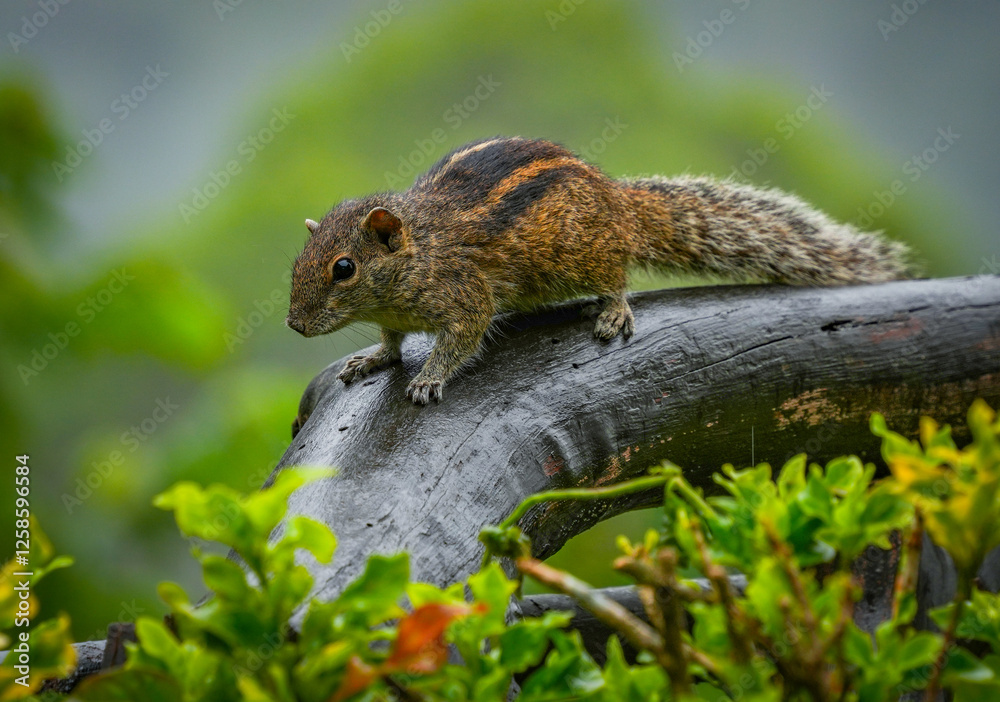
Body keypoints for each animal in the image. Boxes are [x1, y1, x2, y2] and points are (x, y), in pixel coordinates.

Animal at [287, 136, 912, 404]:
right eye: (298, 262)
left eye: (344, 268)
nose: (294, 324)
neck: (419, 250)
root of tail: (618, 203)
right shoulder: (395, 314)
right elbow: (392, 341)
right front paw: (374, 358)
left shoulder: (464, 296)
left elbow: (462, 337)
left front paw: (430, 377)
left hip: (587, 254)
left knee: (616, 278)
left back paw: (614, 311)